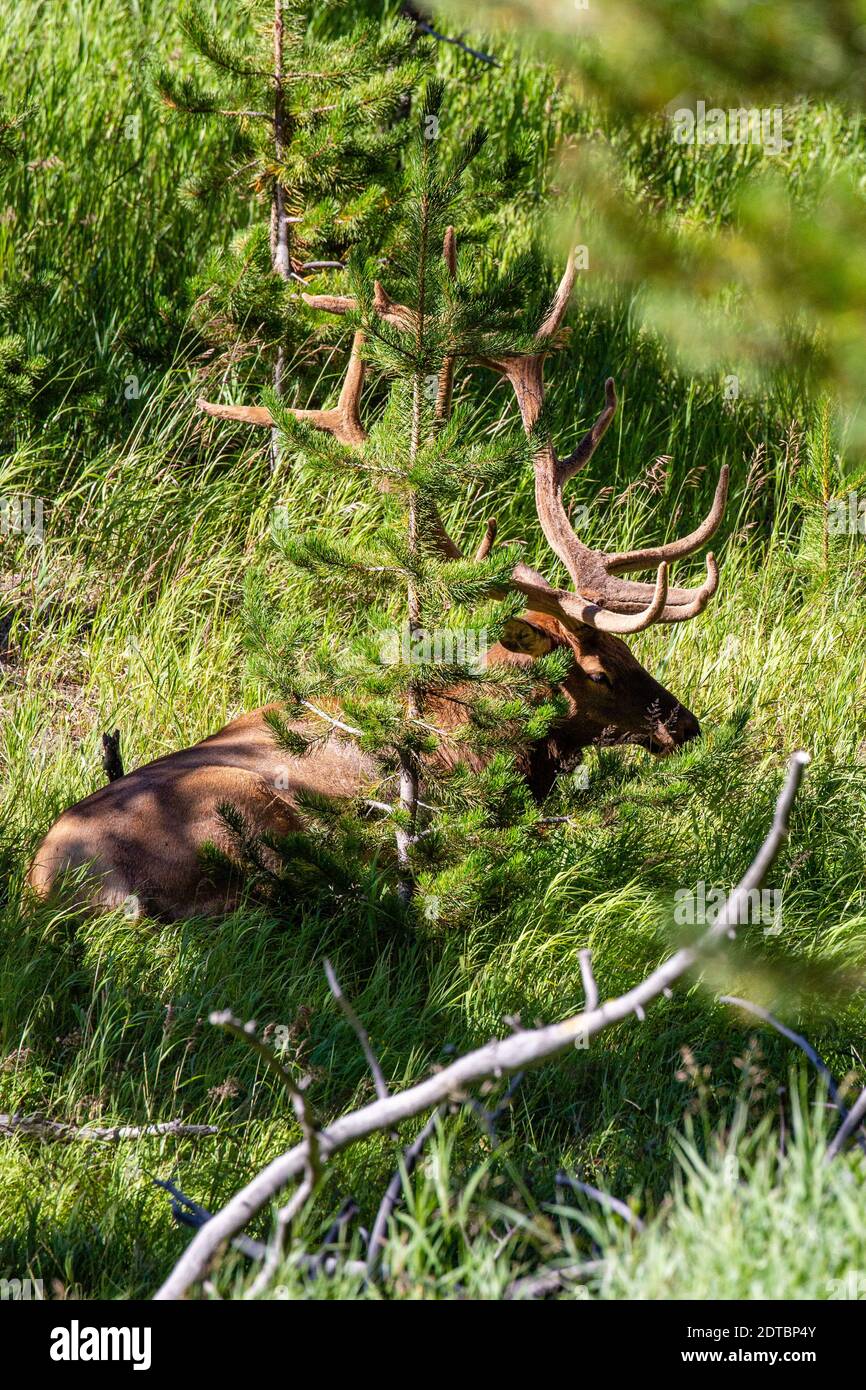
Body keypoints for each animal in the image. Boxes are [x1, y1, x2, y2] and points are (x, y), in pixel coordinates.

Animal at [26, 237, 728, 921]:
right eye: (598, 673)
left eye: (631, 652)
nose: (685, 725)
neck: (486, 733)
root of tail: (54, 888)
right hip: (244, 825)